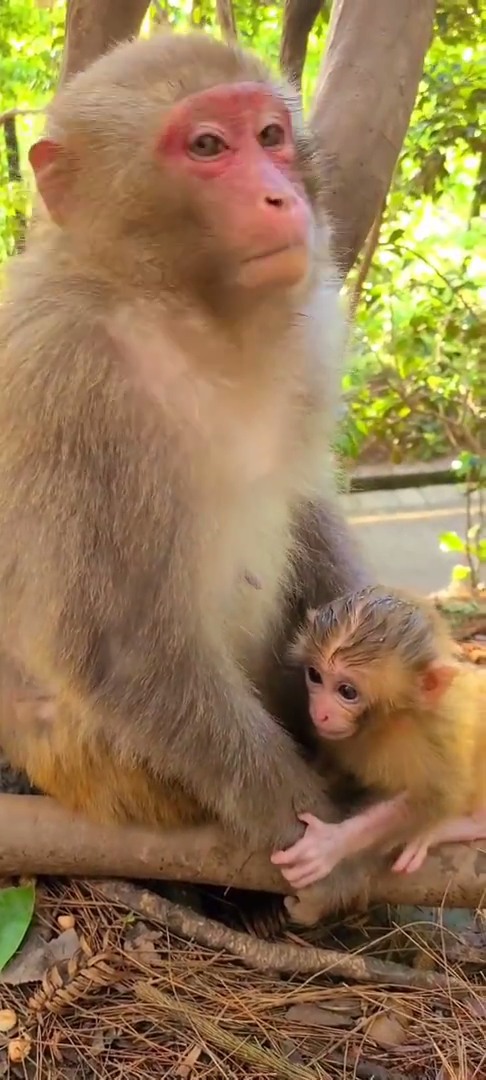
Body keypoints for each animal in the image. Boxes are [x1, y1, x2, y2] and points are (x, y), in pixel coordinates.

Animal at [0, 30, 386, 925]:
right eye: (208, 147)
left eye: (271, 136)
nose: (283, 196)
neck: (183, 306)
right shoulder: (63, 376)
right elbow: (120, 643)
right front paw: (323, 840)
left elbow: (308, 509)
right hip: (102, 768)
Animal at [271, 586, 486, 891]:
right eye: (315, 675)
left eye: (347, 691)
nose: (320, 712)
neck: (387, 723)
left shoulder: (430, 738)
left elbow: (433, 795)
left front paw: (333, 843)